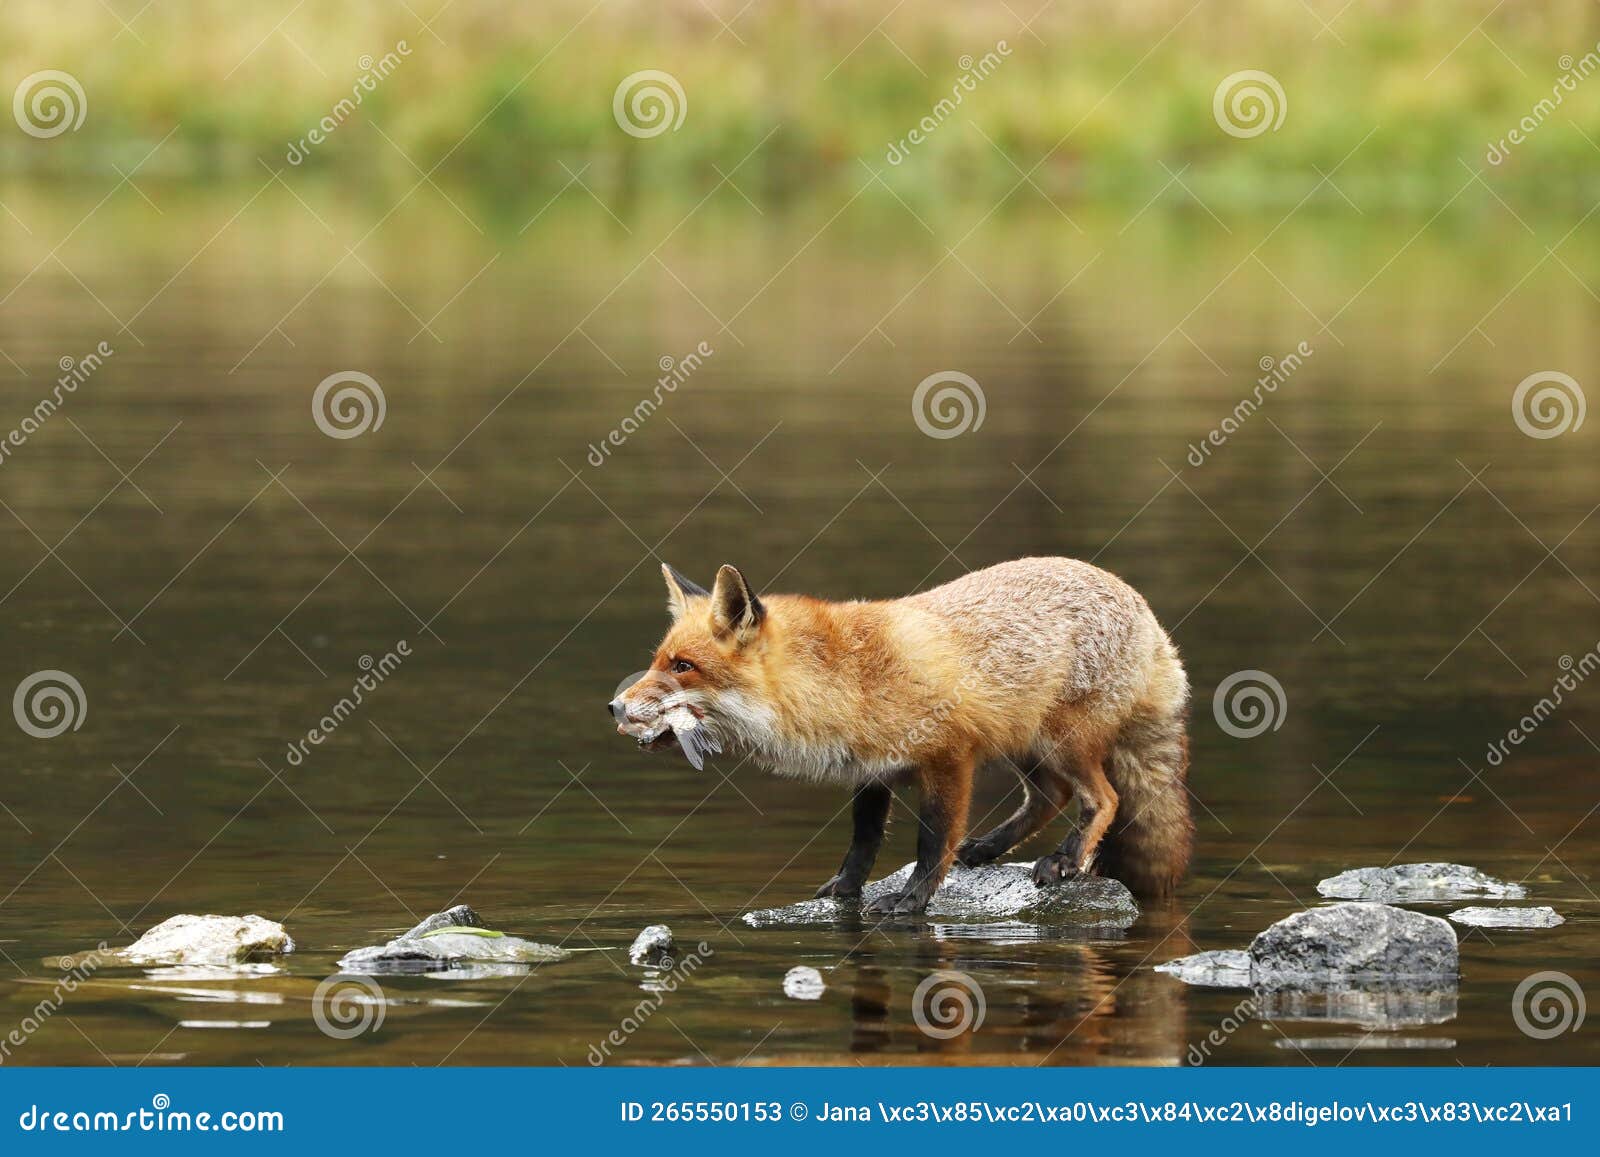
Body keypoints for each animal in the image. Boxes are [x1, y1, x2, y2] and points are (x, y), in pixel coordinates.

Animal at [608, 557, 1192, 916]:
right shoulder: (872, 770)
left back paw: (1067, 860)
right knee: (1053, 795)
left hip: (1061, 741)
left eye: (683, 667)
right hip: (1027, 746)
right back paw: (988, 849)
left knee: (1102, 797)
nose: (614, 706)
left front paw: (911, 901)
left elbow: (933, 841)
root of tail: (1146, 613)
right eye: (659, 660)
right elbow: (864, 840)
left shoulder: (949, 758)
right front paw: (844, 891)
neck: (849, 680)